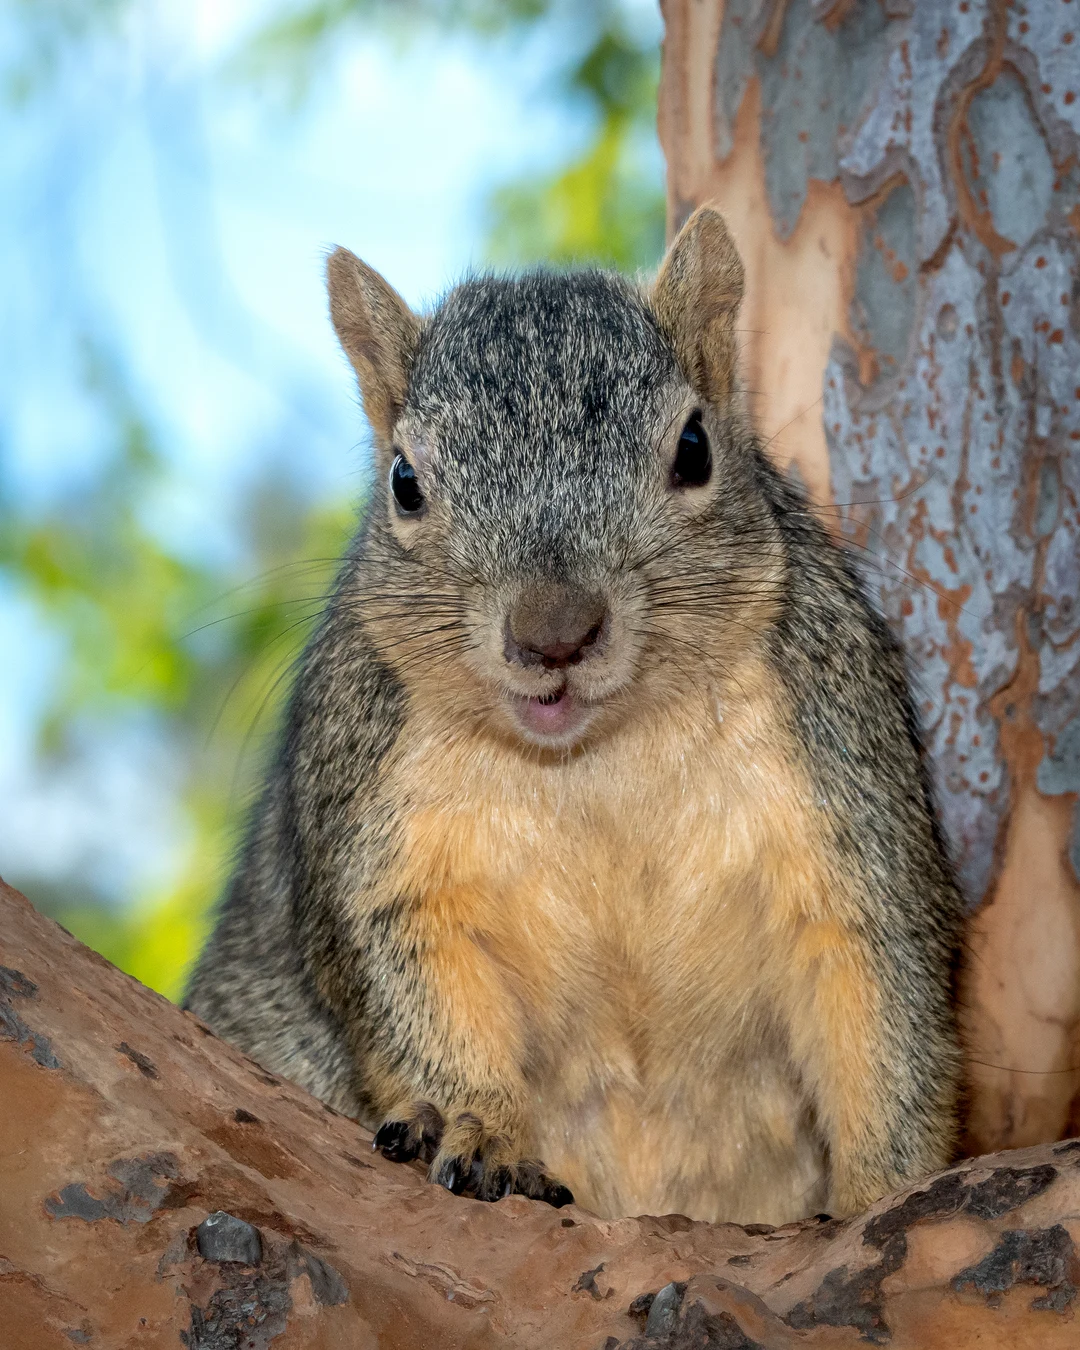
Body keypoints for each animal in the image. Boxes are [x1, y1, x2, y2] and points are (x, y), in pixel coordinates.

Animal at [184, 207, 963, 1226]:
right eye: (404, 481)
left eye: (695, 449)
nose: (553, 634)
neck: (595, 762)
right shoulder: (372, 814)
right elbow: (406, 981)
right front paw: (475, 1124)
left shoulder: (845, 778)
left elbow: (879, 991)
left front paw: (886, 1190)